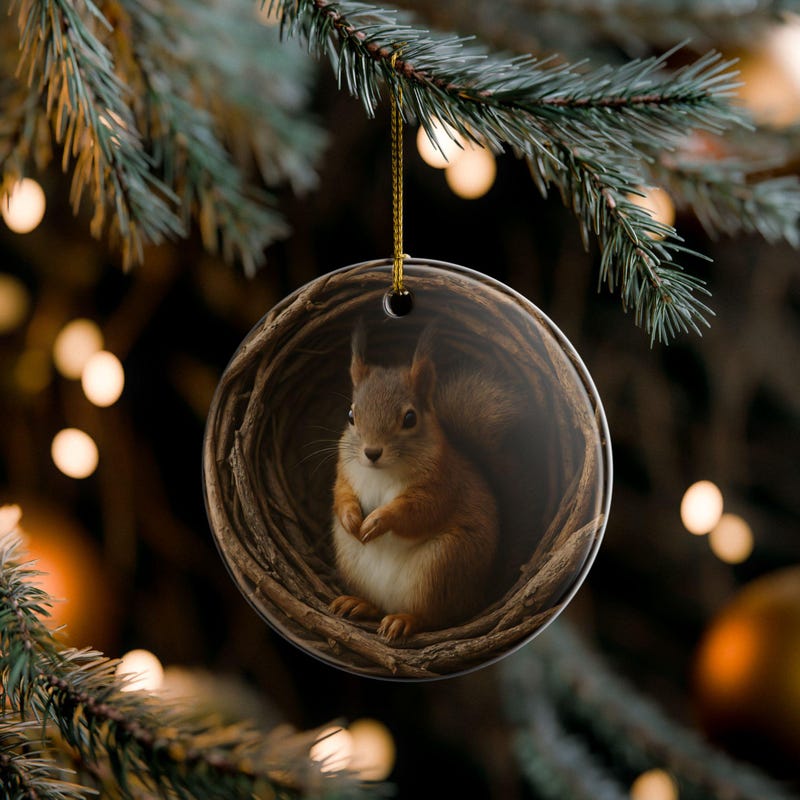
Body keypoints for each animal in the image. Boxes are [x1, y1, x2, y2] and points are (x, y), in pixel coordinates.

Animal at [329, 321, 522, 642]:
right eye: (351, 415)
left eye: (410, 418)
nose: (371, 452)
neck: (382, 472)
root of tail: (479, 595)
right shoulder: (346, 471)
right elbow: (341, 494)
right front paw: (351, 518)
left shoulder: (441, 484)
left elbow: (417, 512)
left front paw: (378, 521)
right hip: (353, 557)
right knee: (379, 606)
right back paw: (359, 603)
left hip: (441, 565)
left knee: (436, 618)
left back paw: (404, 620)